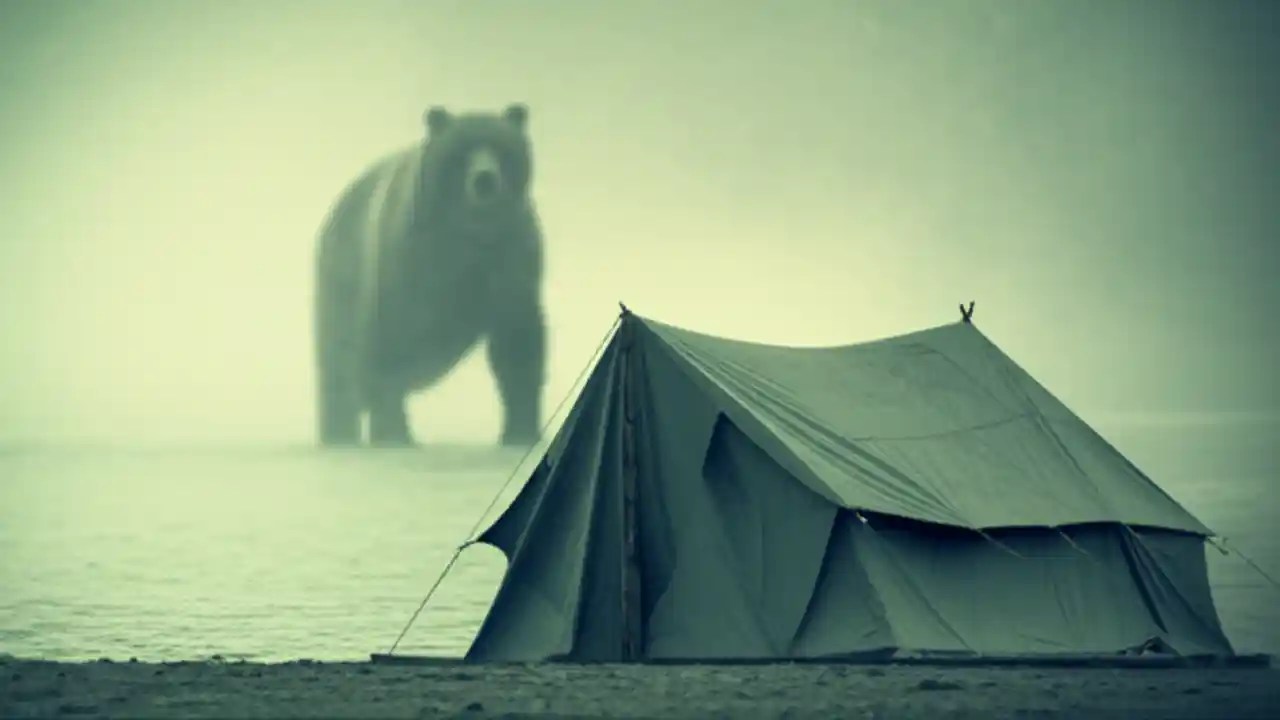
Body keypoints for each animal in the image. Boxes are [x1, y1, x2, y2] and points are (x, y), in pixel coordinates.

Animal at [312, 103, 546, 448]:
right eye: (461, 150)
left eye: (501, 147)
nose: (485, 179)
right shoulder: (407, 260)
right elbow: (386, 342)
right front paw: (392, 432)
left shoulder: (511, 260)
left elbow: (518, 343)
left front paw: (520, 432)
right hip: (338, 279)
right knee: (338, 364)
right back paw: (341, 432)